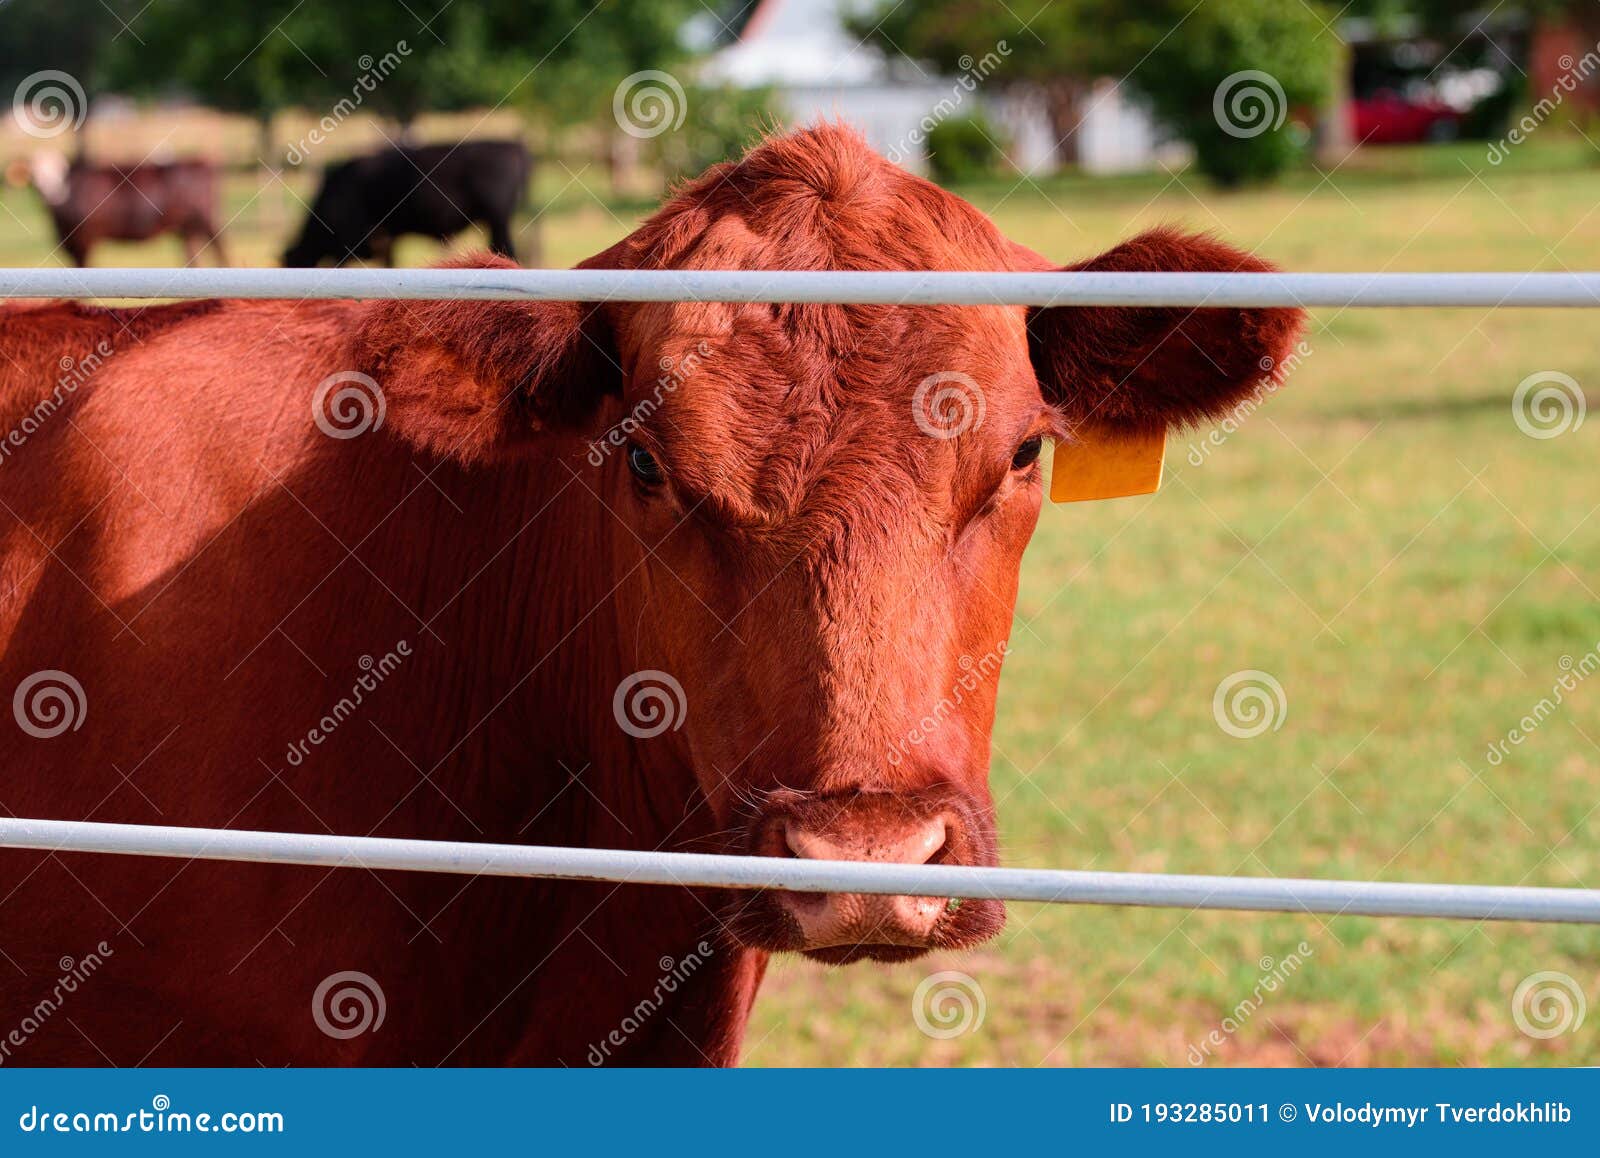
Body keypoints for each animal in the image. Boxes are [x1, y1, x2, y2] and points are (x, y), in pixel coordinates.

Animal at [13, 152, 229, 268]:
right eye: (34, 175)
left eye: (61, 174)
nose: (50, 193)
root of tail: (200, 161)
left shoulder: (85, 239)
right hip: (186, 226)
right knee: (193, 255)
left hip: (206, 219)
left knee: (220, 249)